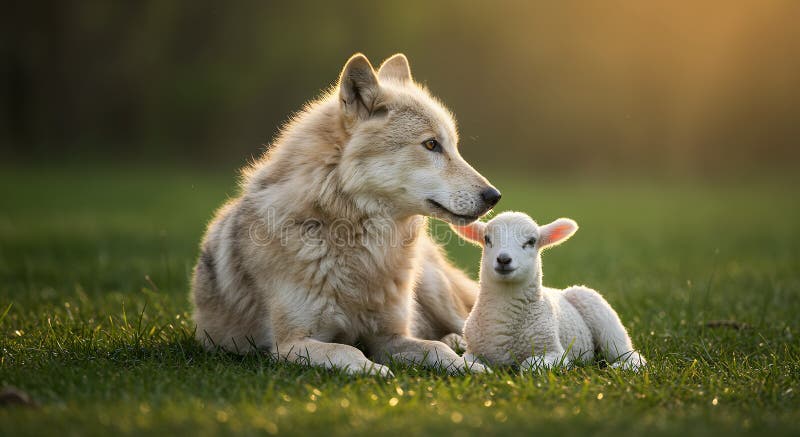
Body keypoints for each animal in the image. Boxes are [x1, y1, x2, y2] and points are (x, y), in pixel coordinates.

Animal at [191, 53, 501, 376]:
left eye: (453, 146)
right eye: (431, 144)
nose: (494, 196)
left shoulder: (390, 336)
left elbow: (436, 349)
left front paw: (473, 368)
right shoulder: (289, 344)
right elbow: (348, 349)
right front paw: (376, 371)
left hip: (436, 290)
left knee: (464, 324)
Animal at [451, 211, 646, 371]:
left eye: (531, 241)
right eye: (487, 239)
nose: (504, 259)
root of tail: (562, 291)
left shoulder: (555, 353)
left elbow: (528, 366)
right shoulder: (473, 351)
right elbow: (466, 362)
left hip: (601, 316)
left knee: (628, 353)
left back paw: (623, 367)